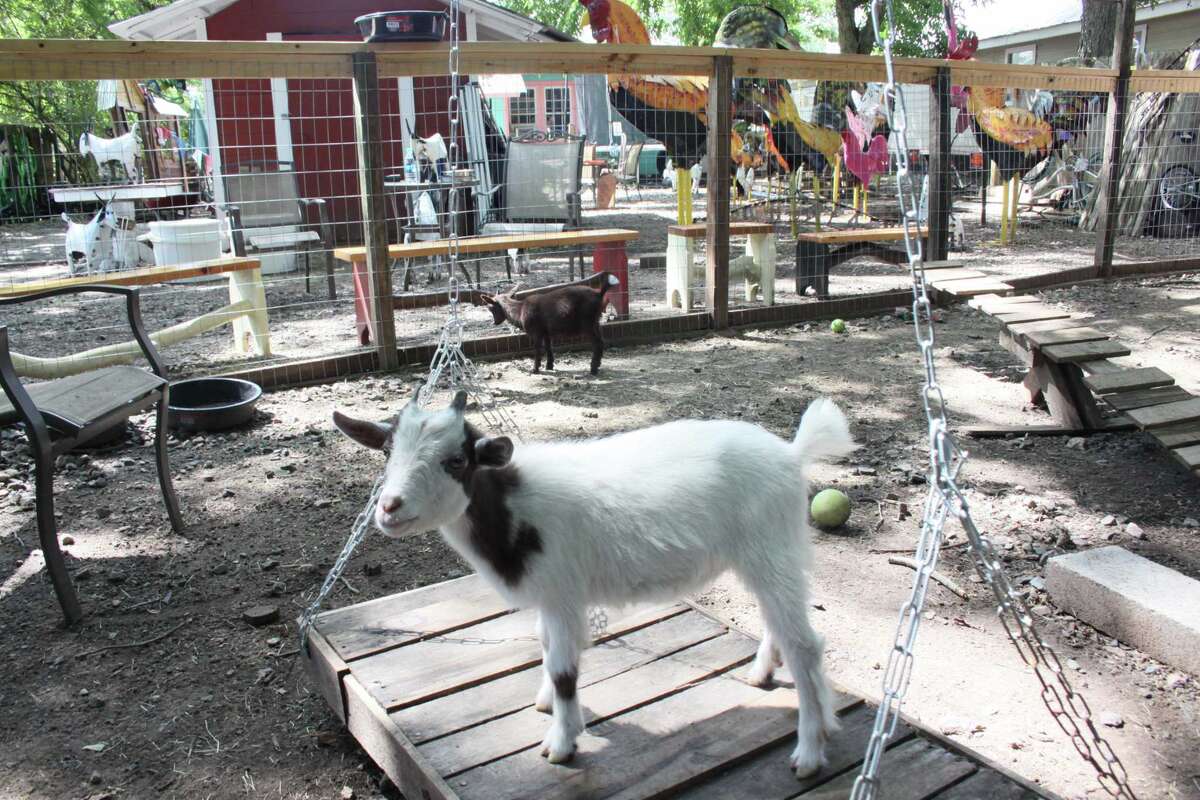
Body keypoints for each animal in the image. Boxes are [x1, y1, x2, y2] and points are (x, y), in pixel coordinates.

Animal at [333, 390, 855, 777]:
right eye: (387, 450)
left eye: (457, 460)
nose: (390, 508)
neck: (513, 509)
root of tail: (791, 454)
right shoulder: (550, 597)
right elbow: (546, 650)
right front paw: (549, 704)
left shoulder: (563, 592)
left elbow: (565, 669)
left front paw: (561, 745)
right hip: (767, 555)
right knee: (779, 622)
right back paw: (762, 673)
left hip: (771, 546)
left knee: (805, 645)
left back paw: (809, 753)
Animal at [480, 273, 619, 375]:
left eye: (490, 308)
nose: (494, 322)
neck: (520, 310)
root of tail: (599, 293)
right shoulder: (546, 332)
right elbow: (548, 347)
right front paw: (549, 366)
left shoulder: (536, 332)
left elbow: (537, 349)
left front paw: (535, 369)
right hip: (596, 321)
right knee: (601, 341)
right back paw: (598, 365)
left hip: (587, 323)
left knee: (597, 343)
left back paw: (593, 369)